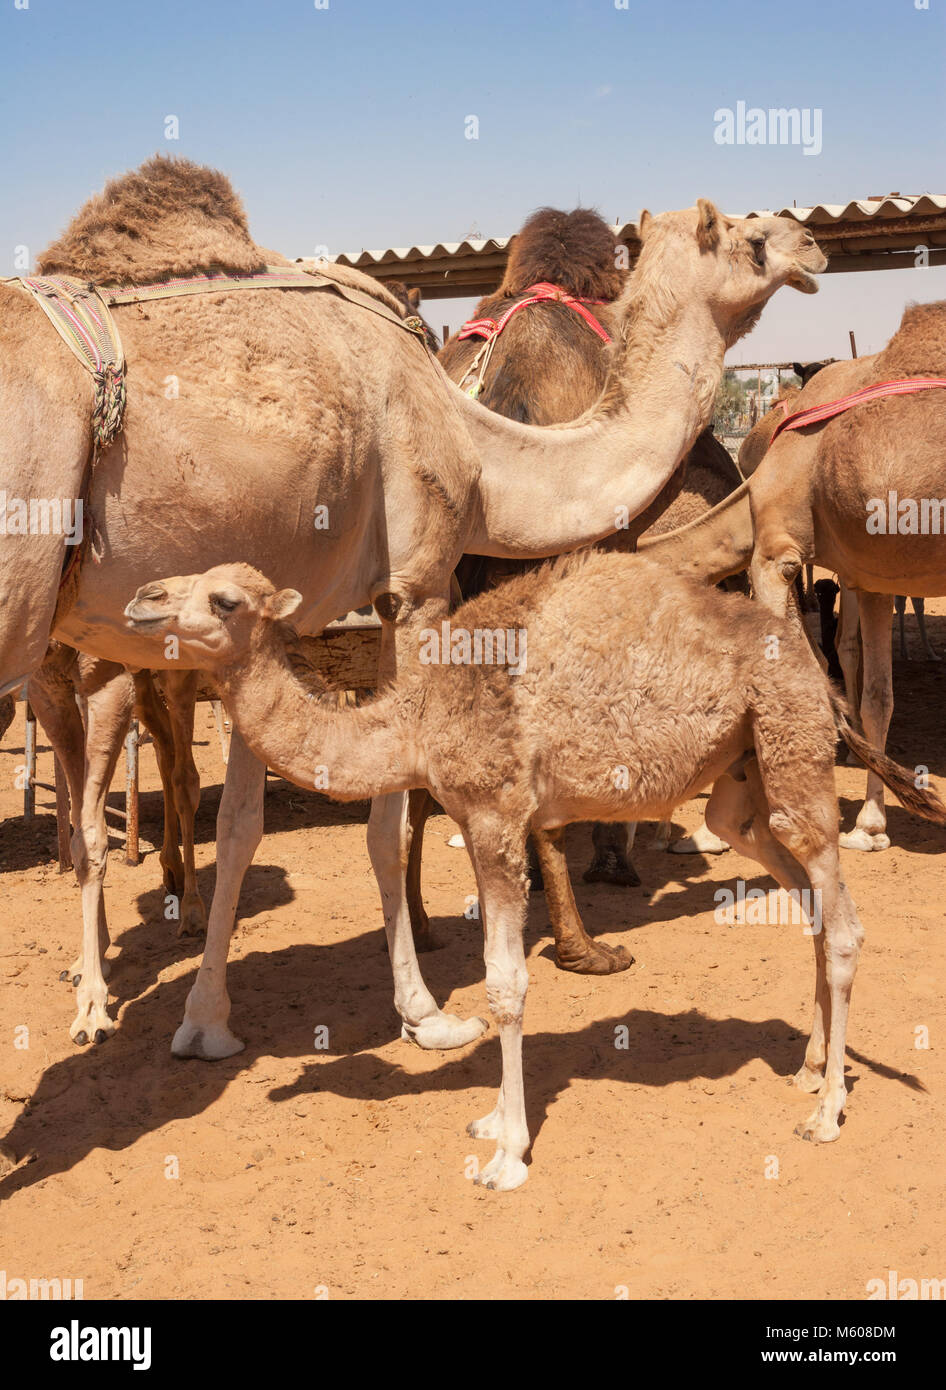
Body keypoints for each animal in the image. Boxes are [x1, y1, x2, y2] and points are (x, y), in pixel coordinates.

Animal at [0, 156, 824, 1059]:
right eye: (746, 233)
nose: (810, 240)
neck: (485, 453)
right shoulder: (417, 588)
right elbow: (389, 826)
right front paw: (427, 1013)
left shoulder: (262, 622)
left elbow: (243, 826)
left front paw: (206, 1020)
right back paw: (91, 1004)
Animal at [125, 556, 946, 1189]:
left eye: (225, 599)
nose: (143, 598)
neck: (419, 715)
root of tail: (821, 682)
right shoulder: (476, 819)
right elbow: (499, 973)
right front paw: (492, 1120)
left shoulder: (495, 816)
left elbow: (506, 985)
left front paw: (507, 1156)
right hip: (743, 784)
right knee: (804, 902)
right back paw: (809, 1068)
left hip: (792, 744)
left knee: (843, 924)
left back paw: (825, 1113)